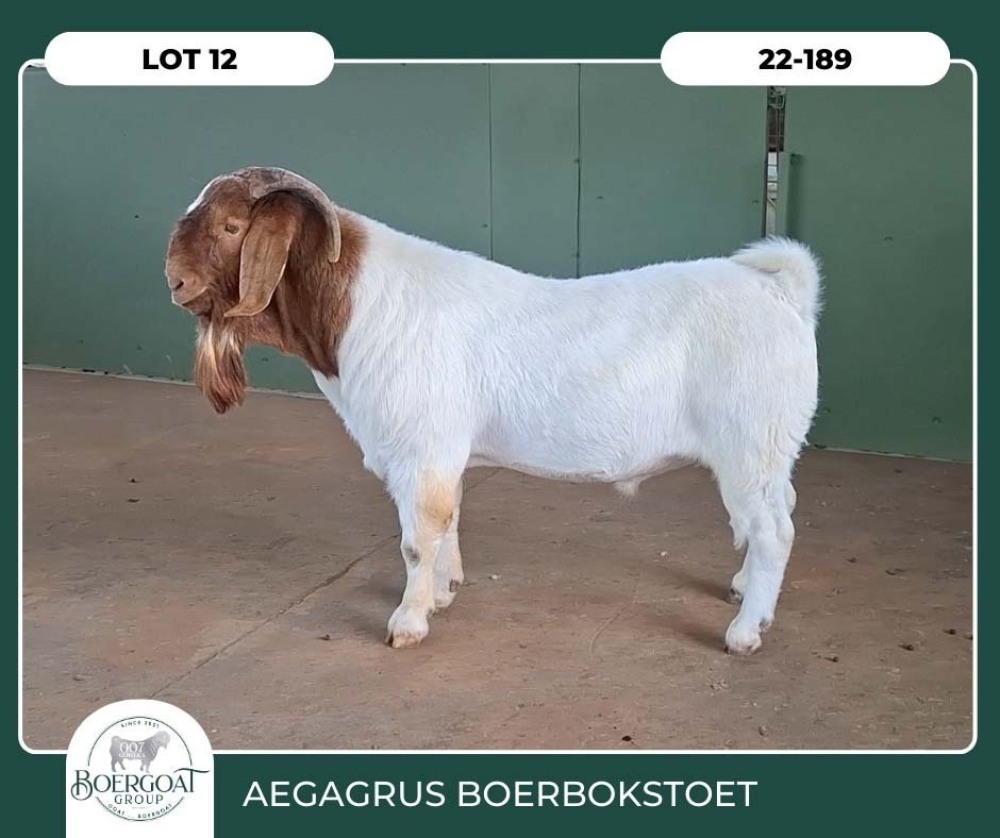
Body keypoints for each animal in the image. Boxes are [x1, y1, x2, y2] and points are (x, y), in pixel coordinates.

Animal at [165, 166, 820, 655]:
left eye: (230, 225)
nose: (173, 281)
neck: (357, 308)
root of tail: (780, 291)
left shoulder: (419, 450)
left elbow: (416, 537)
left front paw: (408, 622)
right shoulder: (444, 453)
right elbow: (448, 520)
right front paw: (444, 592)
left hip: (748, 445)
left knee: (772, 529)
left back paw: (744, 633)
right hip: (771, 451)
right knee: (781, 510)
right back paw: (741, 590)